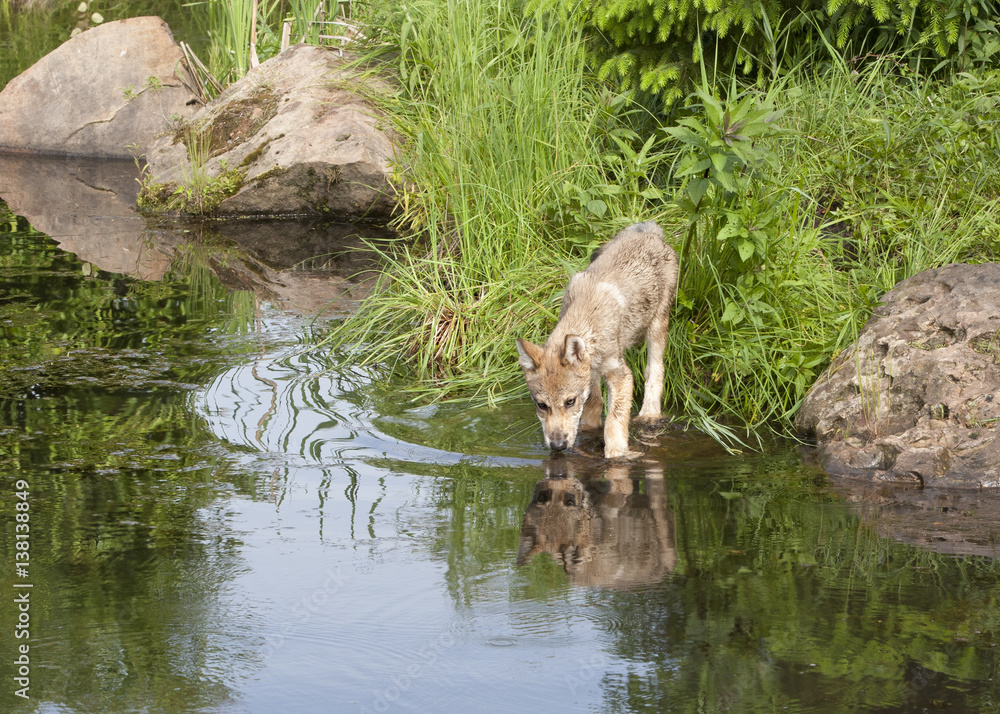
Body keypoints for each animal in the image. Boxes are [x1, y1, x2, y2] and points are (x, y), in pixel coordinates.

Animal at [516, 221, 679, 459]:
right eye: (541, 405)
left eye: (570, 401)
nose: (557, 446)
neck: (588, 319)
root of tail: (649, 231)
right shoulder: (591, 375)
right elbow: (594, 404)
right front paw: (588, 431)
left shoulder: (621, 375)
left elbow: (614, 419)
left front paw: (616, 454)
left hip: (657, 325)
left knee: (655, 370)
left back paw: (649, 415)